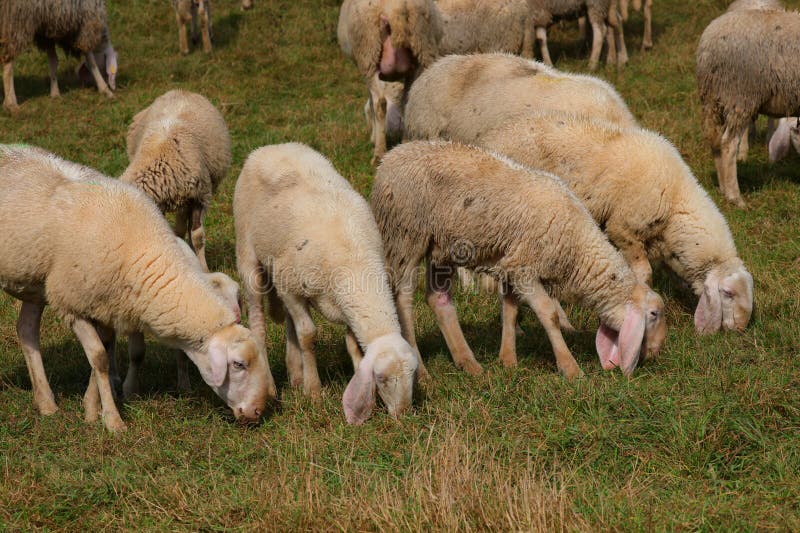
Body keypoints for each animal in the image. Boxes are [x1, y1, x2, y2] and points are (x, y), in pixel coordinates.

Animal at [0, 144, 275, 432]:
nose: (257, 412)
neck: (141, 249)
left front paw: (91, 409)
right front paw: (113, 420)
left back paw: (46, 403)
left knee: (26, 330)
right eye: (239, 364)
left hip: (35, 282)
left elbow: (105, 353)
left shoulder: (107, 306)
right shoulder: (71, 303)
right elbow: (99, 357)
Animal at [234, 143, 419, 425]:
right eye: (382, 378)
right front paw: (313, 391)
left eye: (412, 374)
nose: (403, 415)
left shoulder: (344, 305)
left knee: (289, 322)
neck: (355, 261)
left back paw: (295, 374)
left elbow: (352, 344)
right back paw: (272, 386)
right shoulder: (290, 288)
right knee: (258, 321)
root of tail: (270, 147)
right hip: (248, 254)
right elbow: (308, 336)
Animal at [372, 141, 667, 379]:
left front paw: (508, 360)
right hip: (405, 234)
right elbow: (549, 314)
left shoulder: (513, 263)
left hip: (442, 245)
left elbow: (510, 311)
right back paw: (422, 371)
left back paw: (469, 363)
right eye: (653, 315)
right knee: (403, 299)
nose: (655, 354)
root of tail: (390, 158)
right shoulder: (525, 268)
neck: (577, 245)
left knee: (438, 298)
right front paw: (570, 368)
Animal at [451, 111, 753, 334]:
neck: (676, 199)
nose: (739, 329)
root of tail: (489, 138)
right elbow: (643, 273)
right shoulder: (624, 228)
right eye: (727, 293)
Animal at [696, 9, 800, 206]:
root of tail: (708, 43)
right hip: (741, 95)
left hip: (713, 100)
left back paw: (723, 189)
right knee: (728, 144)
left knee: (716, 141)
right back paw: (736, 198)